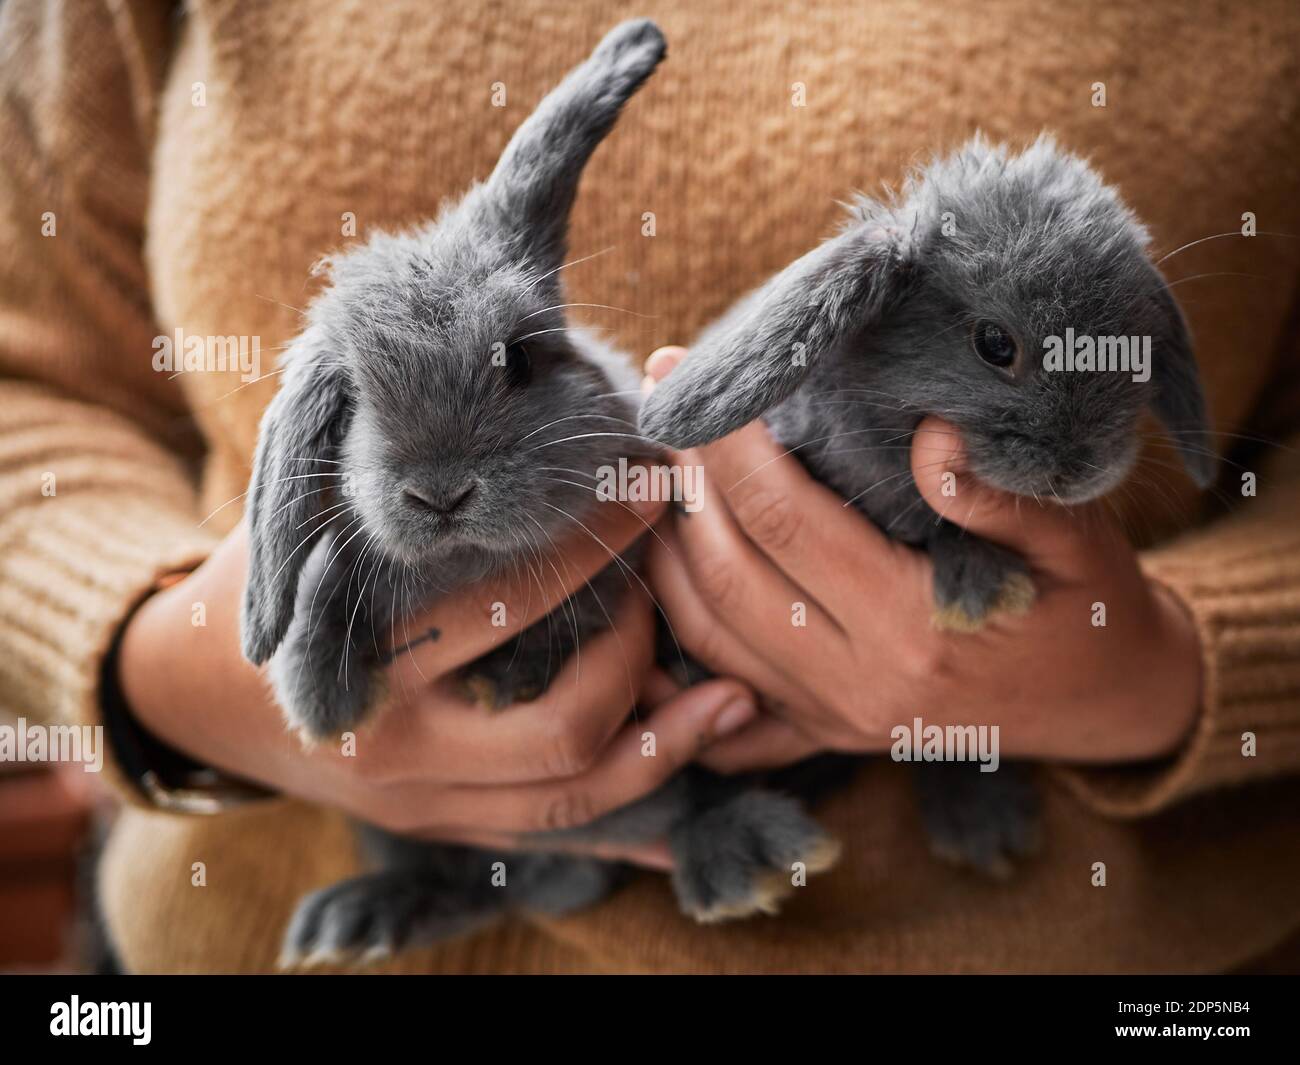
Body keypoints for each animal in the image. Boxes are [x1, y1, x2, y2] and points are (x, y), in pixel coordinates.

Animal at [241, 20, 841, 969]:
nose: (439, 493)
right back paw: (358, 918)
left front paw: (511, 675)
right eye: (352, 402)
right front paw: (319, 698)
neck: (467, 565)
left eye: (516, 360)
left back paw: (739, 860)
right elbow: (331, 575)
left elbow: (584, 612)